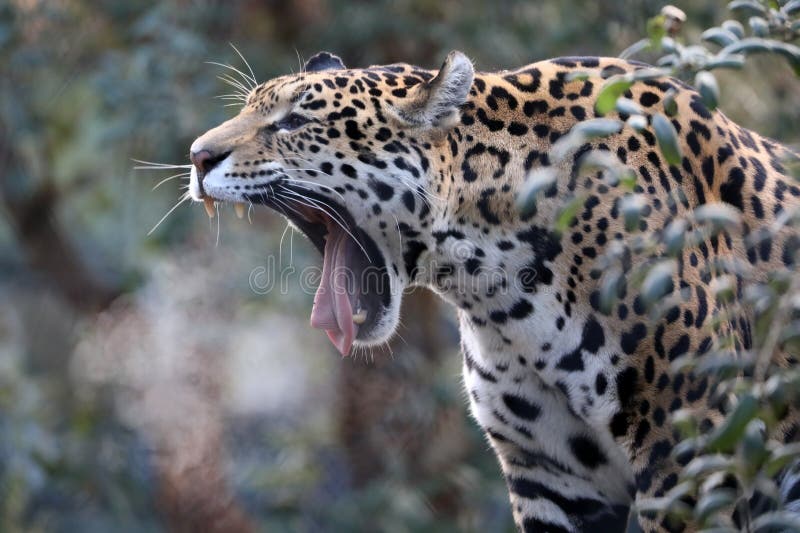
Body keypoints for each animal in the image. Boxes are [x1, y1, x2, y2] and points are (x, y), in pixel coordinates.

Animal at [187, 50, 800, 532]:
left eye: (293, 122)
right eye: (249, 108)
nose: (197, 156)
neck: (500, 290)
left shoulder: (691, 461)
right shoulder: (551, 477)